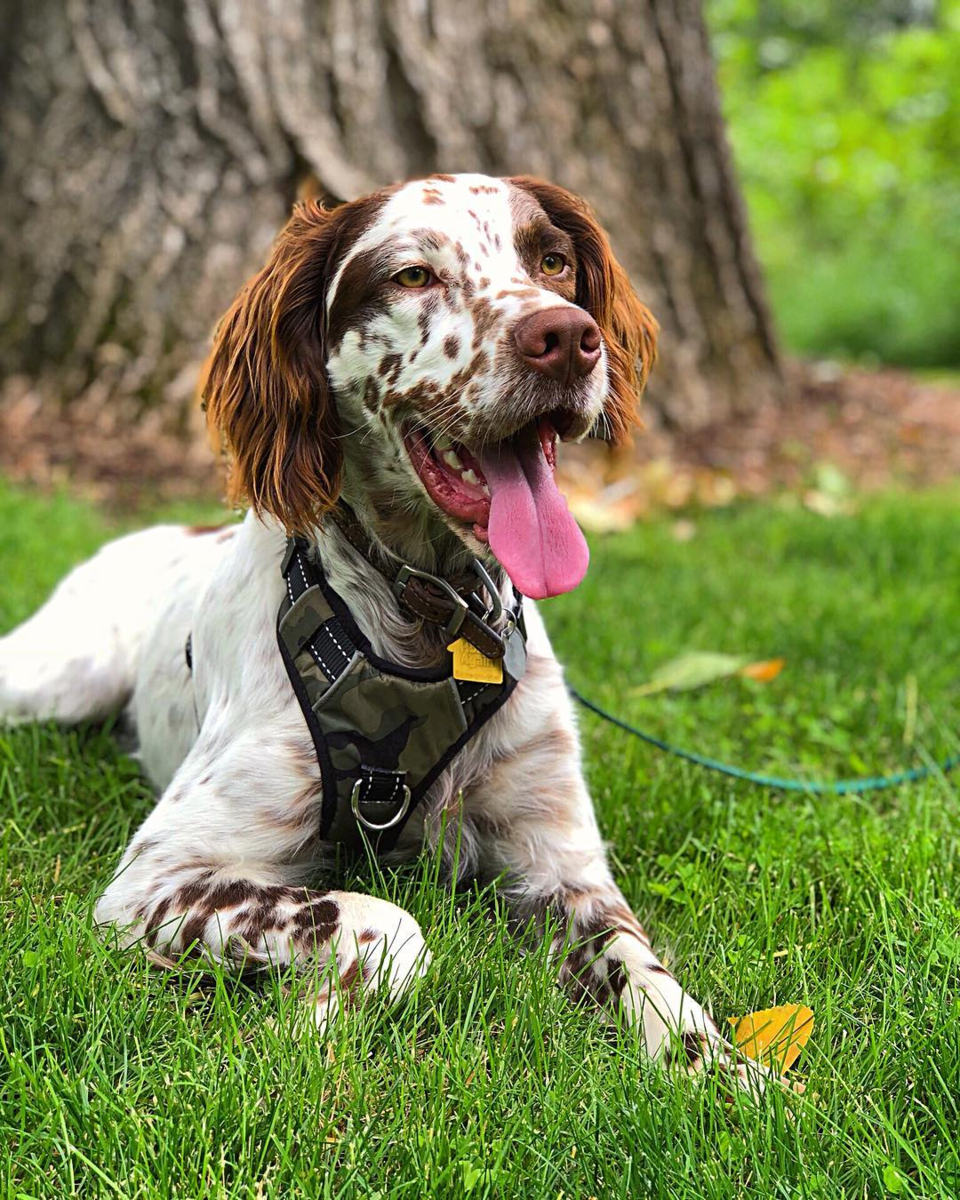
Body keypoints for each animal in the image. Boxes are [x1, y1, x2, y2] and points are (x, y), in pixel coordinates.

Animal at [0, 174, 763, 1094]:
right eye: (411, 275)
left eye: (553, 261)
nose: (566, 339)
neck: (434, 622)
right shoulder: (157, 878)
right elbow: (391, 928)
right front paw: (309, 1023)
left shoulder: (561, 866)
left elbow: (644, 970)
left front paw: (723, 1071)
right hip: (55, 678)